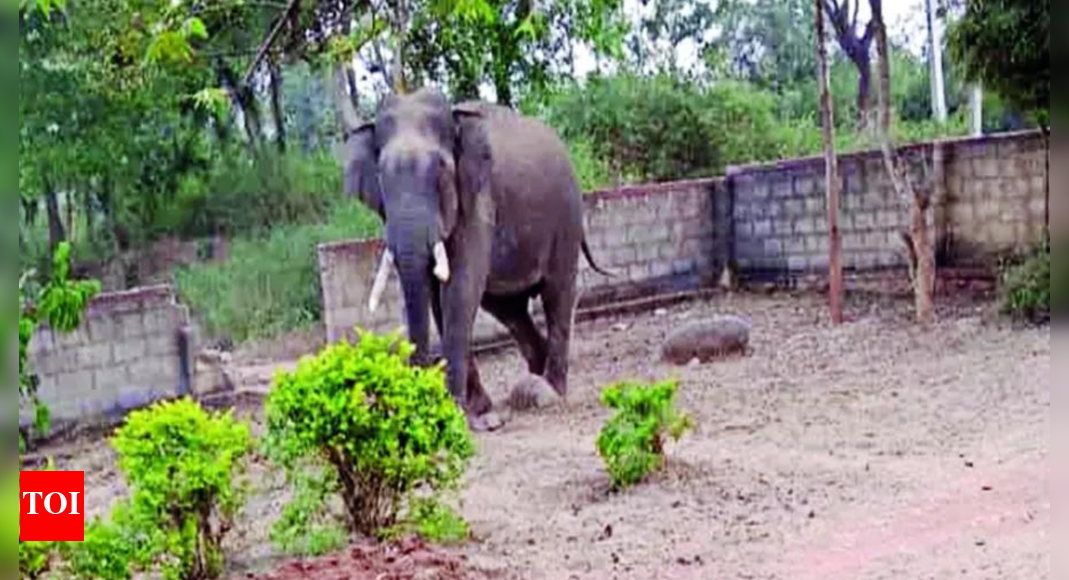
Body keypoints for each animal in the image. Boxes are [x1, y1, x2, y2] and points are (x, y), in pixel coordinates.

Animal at [337, 86, 609, 431]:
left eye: (441, 169)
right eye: (382, 177)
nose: (417, 409)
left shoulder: (478, 199)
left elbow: (460, 288)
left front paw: (464, 416)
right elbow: (438, 299)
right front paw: (479, 411)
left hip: (566, 219)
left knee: (557, 293)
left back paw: (550, 391)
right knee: (508, 309)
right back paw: (534, 378)